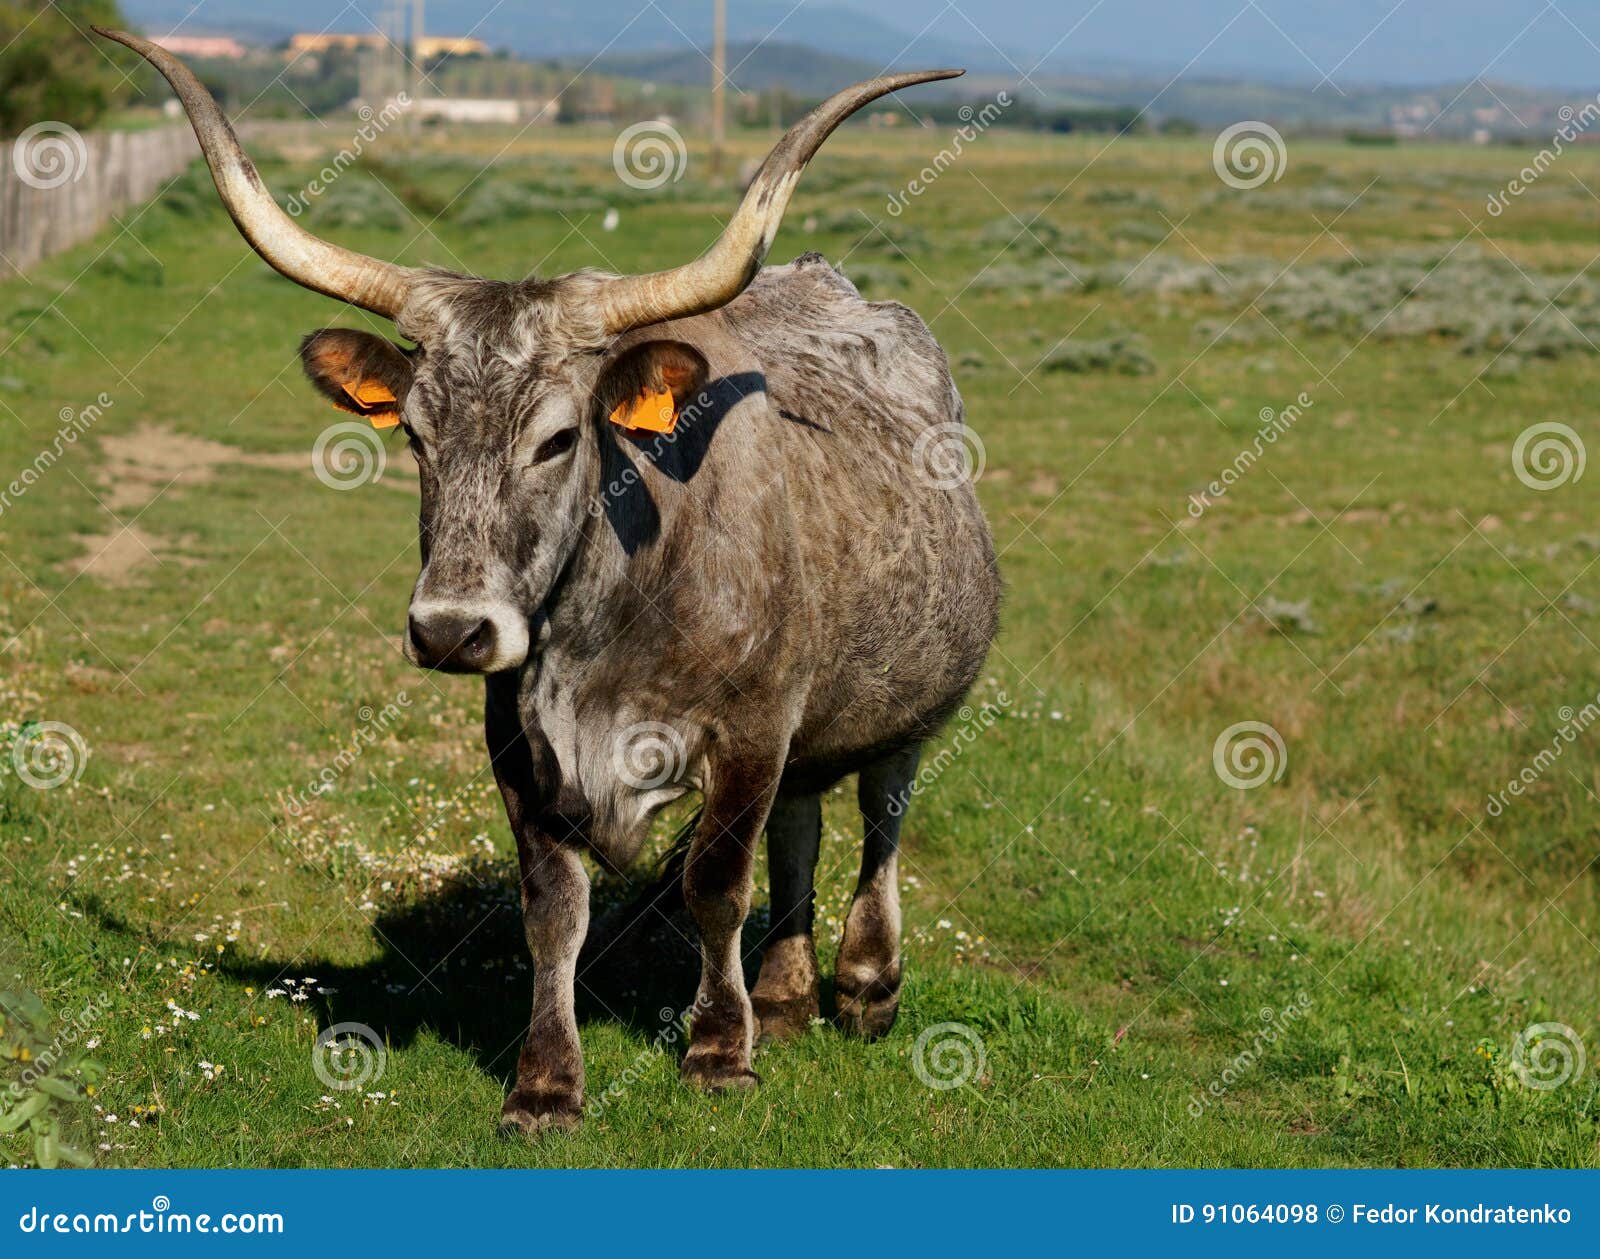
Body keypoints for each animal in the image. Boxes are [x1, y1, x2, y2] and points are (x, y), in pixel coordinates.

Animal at [100, 28, 1001, 1135]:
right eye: (414, 432)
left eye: (559, 438)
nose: (451, 630)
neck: (602, 631)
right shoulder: (519, 746)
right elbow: (553, 908)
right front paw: (545, 1082)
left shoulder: (748, 729)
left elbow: (715, 882)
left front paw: (718, 1051)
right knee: (805, 820)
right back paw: (786, 998)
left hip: (906, 697)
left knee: (880, 811)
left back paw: (865, 984)